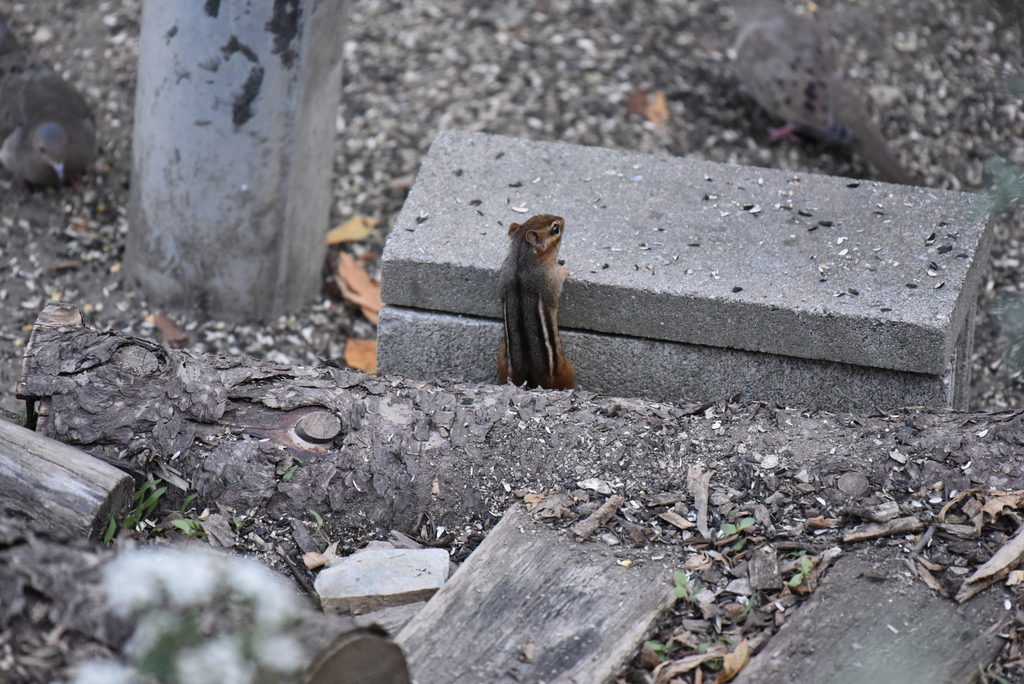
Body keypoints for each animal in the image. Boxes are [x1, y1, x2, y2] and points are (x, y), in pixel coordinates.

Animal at [497, 214, 575, 391]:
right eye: (555, 228)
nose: (562, 218)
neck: (520, 258)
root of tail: (530, 377)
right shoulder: (549, 280)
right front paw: (564, 269)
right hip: (567, 368)